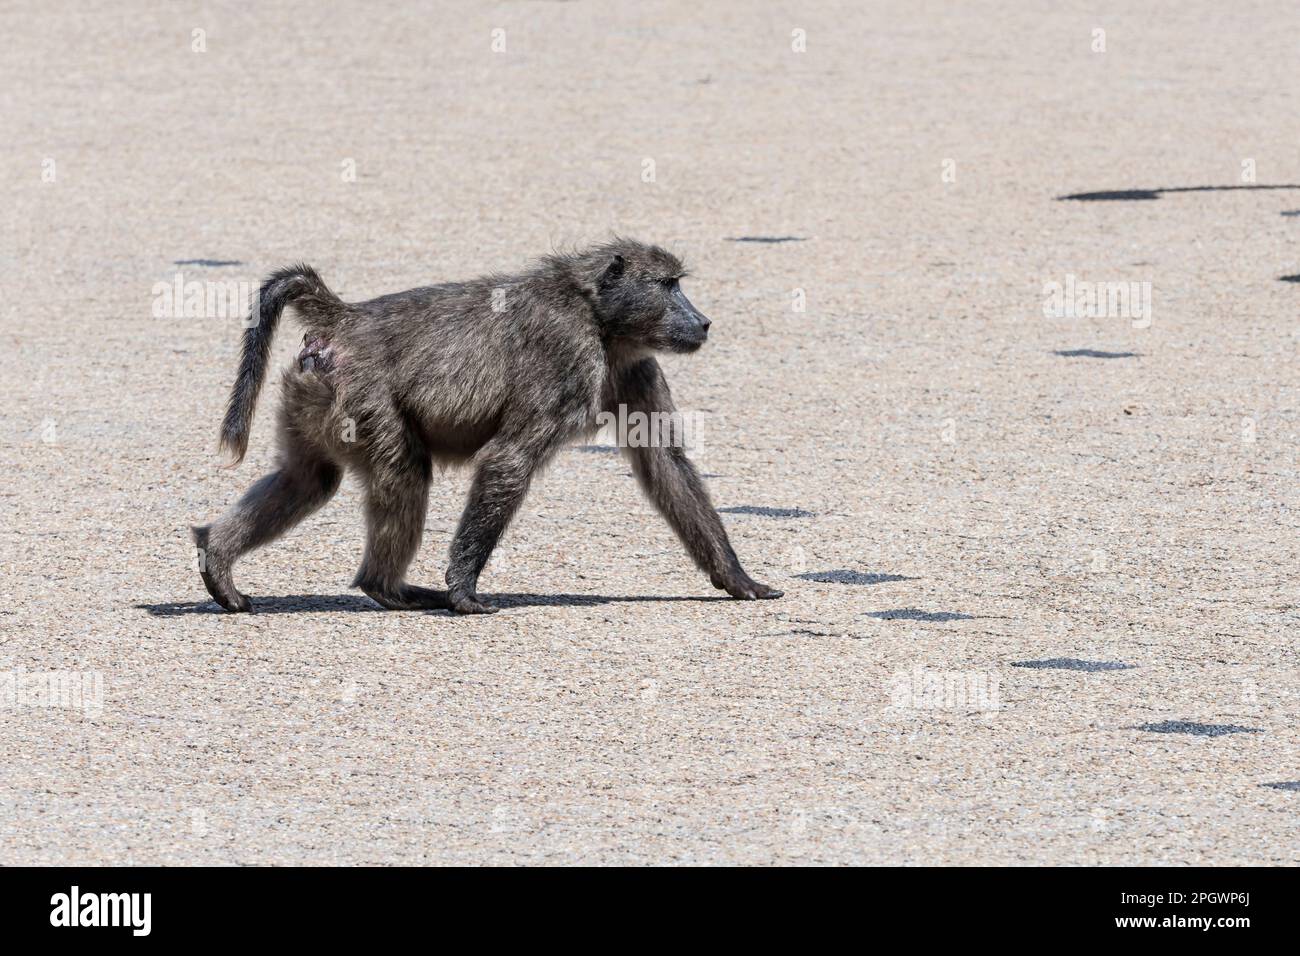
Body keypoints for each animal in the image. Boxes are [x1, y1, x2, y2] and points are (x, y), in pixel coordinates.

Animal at [192, 239, 784, 614]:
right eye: (667, 285)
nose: (702, 322)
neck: (598, 315)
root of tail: (345, 318)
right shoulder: (567, 353)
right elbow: (509, 458)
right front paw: (464, 592)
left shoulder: (636, 367)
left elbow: (667, 463)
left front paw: (739, 580)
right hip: (360, 397)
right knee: (404, 473)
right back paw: (390, 588)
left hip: (313, 395)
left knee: (309, 480)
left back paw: (217, 561)